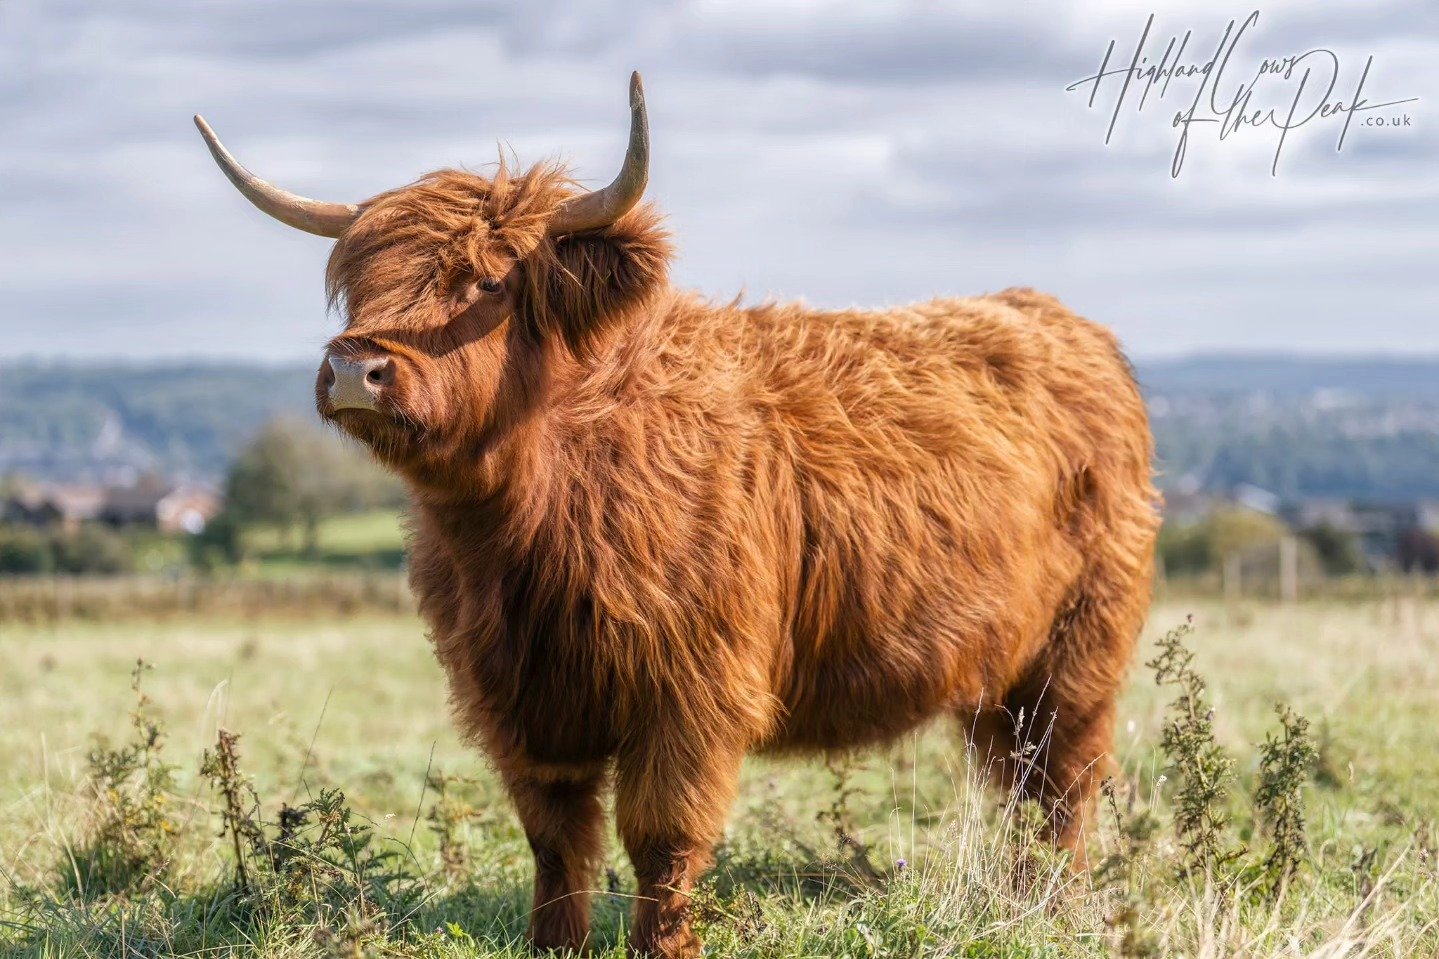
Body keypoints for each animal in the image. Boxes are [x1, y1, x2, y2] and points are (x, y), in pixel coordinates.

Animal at [196, 73, 1158, 958]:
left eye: (487, 279)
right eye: (355, 285)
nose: (353, 369)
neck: (524, 522)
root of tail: (1058, 321)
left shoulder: (691, 687)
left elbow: (661, 838)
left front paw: (662, 944)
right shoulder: (518, 692)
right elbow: (556, 837)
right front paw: (555, 945)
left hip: (1077, 651)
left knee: (1064, 783)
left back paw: (1058, 912)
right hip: (999, 670)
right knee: (1020, 781)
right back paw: (1025, 901)